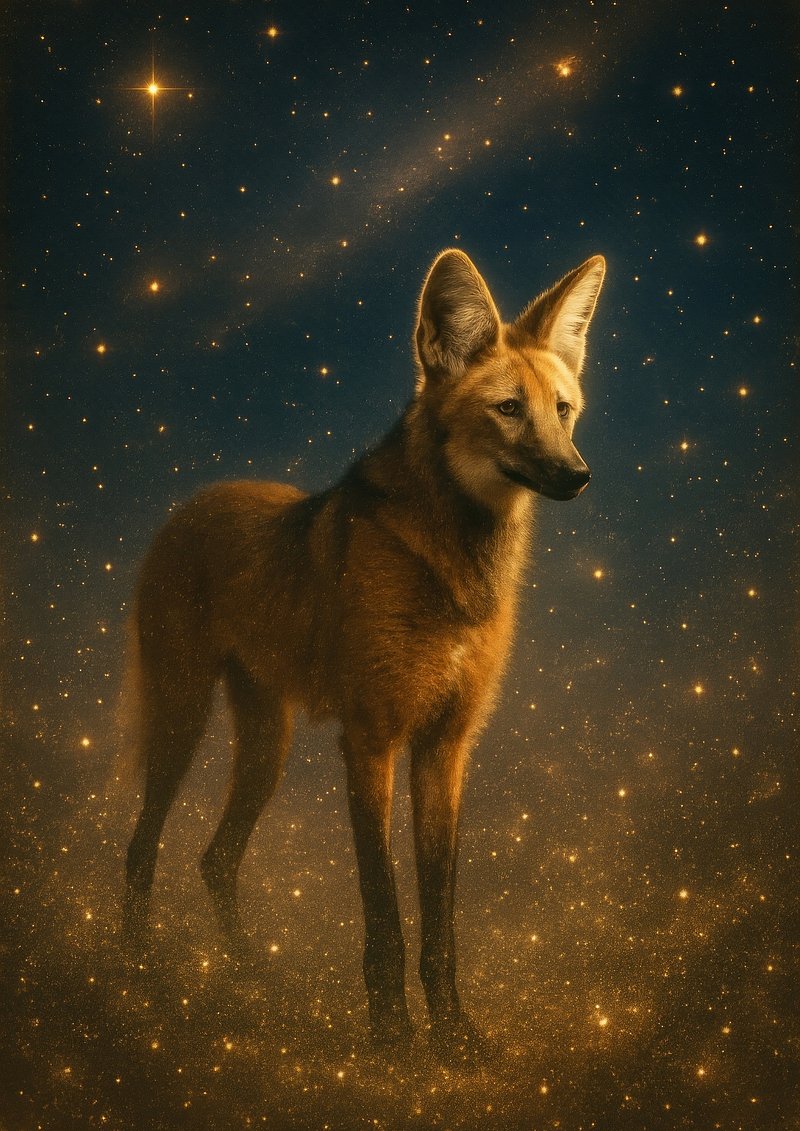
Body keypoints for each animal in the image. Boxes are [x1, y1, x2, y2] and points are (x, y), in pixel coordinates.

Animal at [122, 248, 605, 1063]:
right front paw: (392, 1039)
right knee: (140, 847)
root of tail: (190, 504)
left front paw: (454, 1035)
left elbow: (439, 916)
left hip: (268, 746)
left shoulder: (444, 748)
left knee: (216, 859)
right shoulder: (371, 740)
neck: (452, 570)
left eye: (563, 410)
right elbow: (383, 909)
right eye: (508, 409)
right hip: (184, 720)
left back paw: (248, 974)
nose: (578, 475)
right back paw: (135, 976)